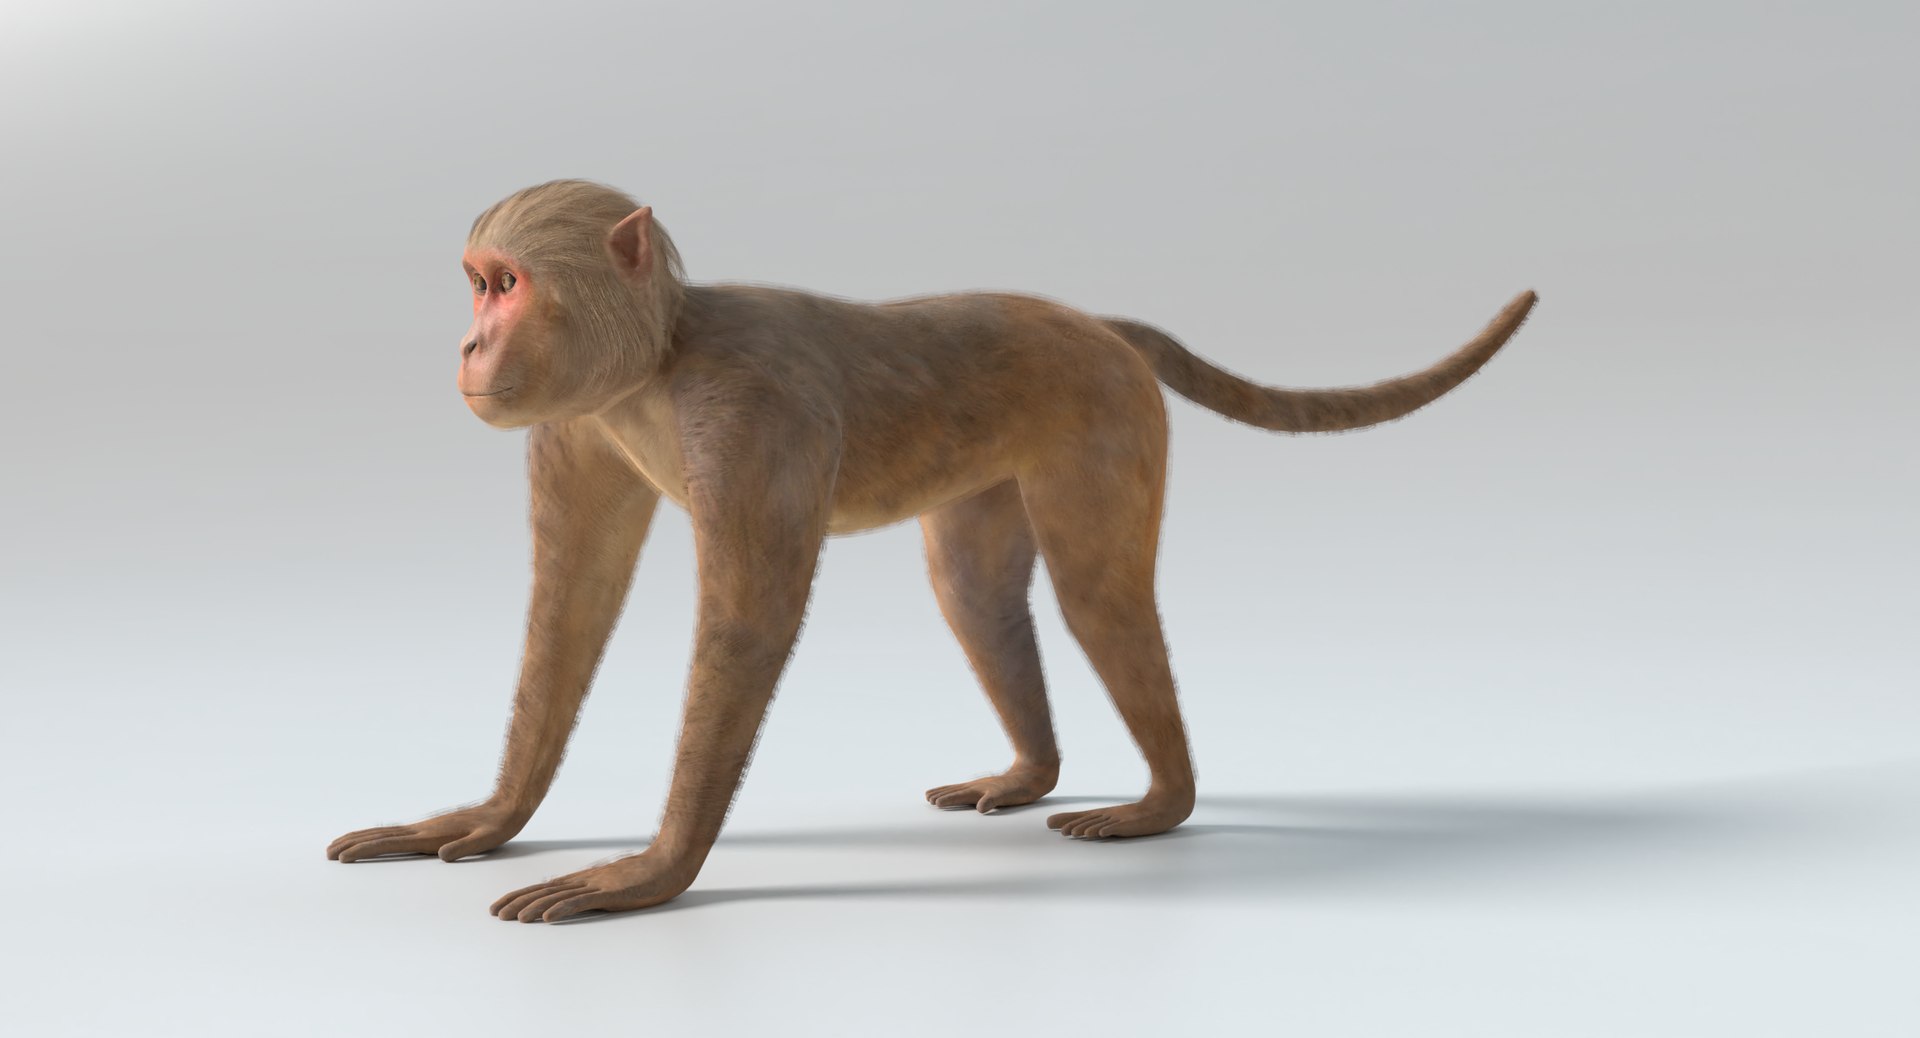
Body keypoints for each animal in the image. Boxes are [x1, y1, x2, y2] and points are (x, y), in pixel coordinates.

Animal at [325, 179, 1536, 922]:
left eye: (505, 284)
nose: (470, 346)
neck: (658, 357)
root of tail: (1098, 325)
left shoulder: (753, 416)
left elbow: (747, 625)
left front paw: (652, 874)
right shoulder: (580, 422)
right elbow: (569, 607)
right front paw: (492, 817)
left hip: (1104, 415)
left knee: (1099, 594)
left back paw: (1164, 802)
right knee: (975, 590)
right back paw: (1031, 773)